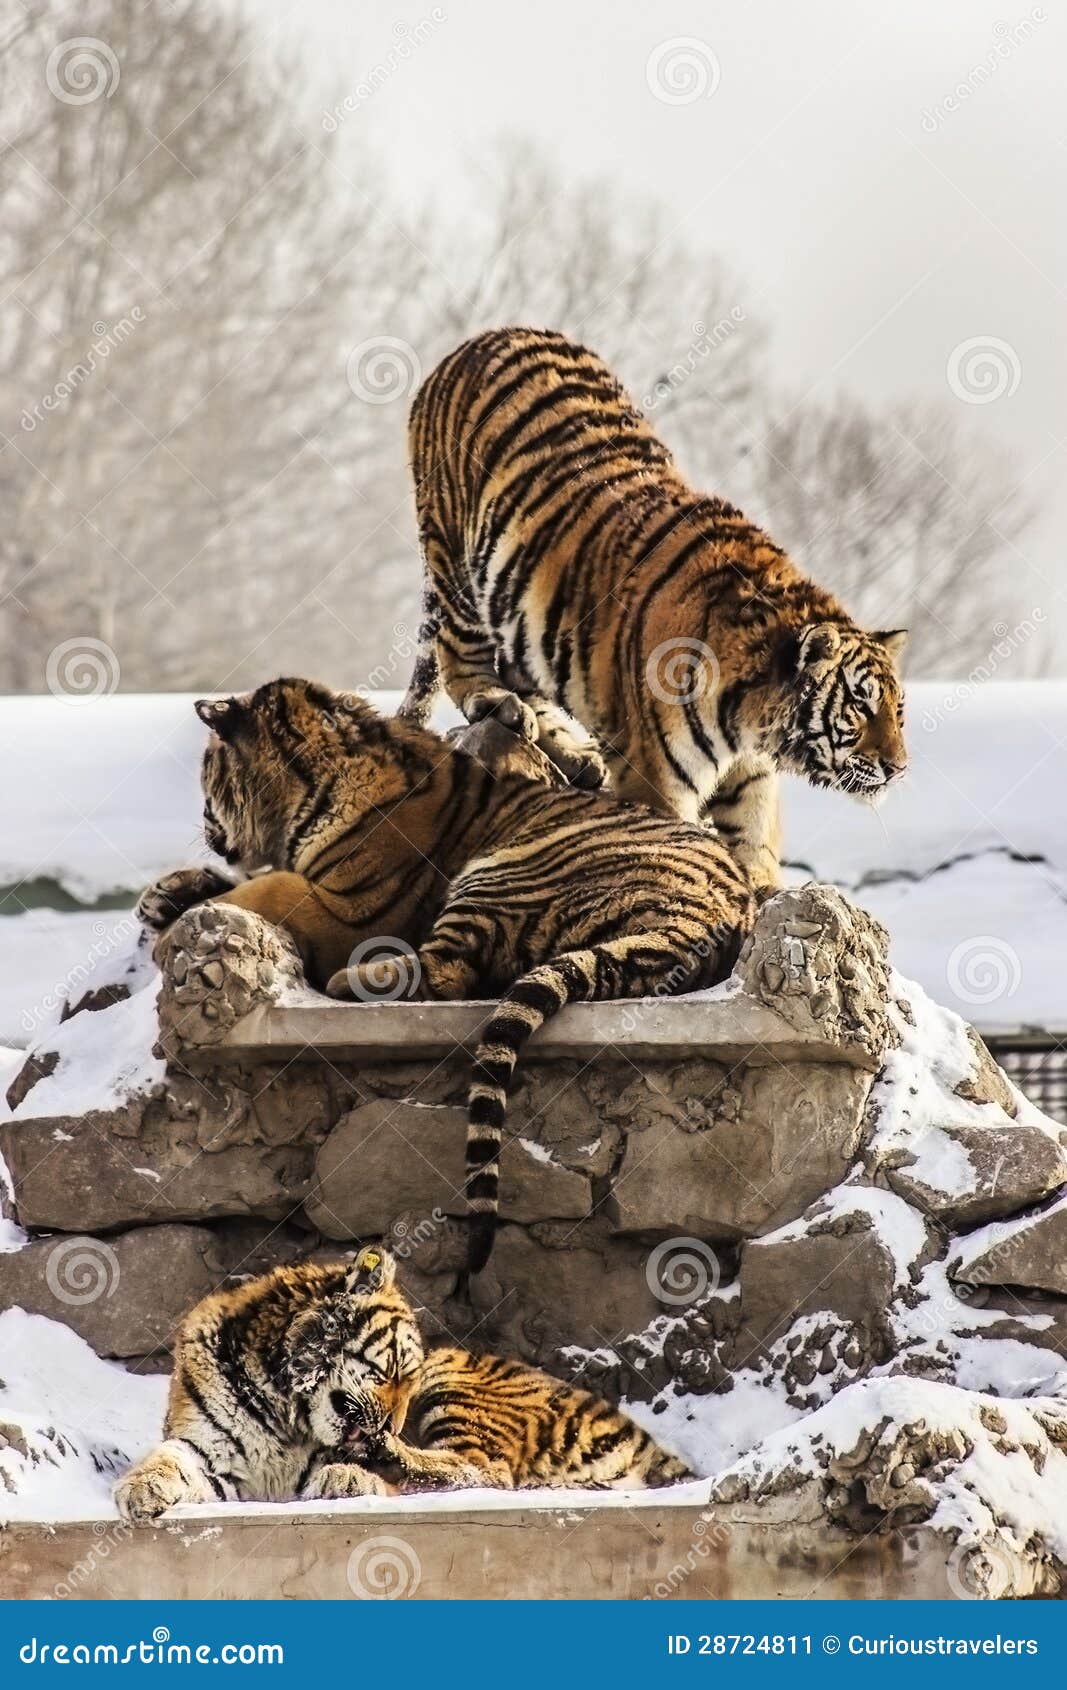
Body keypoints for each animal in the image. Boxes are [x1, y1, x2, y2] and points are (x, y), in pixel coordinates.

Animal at [114, 1245, 689, 1519]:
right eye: (390, 1373)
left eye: (407, 1384)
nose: (390, 1428)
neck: (282, 1404)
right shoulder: (206, 1444)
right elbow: (169, 1460)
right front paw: (139, 1490)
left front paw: (352, 1477)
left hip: (455, 1386)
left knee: (484, 1471)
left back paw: (393, 1459)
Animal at [138, 677, 755, 1277]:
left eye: (207, 771)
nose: (206, 828)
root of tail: (712, 917)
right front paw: (164, 895)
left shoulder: (348, 912)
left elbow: (265, 888)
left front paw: (177, 933)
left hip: (501, 872)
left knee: (446, 973)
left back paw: (348, 981)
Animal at [400, 325, 908, 891]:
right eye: (860, 704)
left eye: (899, 712)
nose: (898, 768)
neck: (751, 711)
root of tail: (486, 336)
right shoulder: (656, 778)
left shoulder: (752, 770)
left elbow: (756, 836)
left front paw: (762, 889)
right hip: (455, 558)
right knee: (460, 659)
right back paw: (497, 703)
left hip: (526, 620)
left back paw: (577, 756)